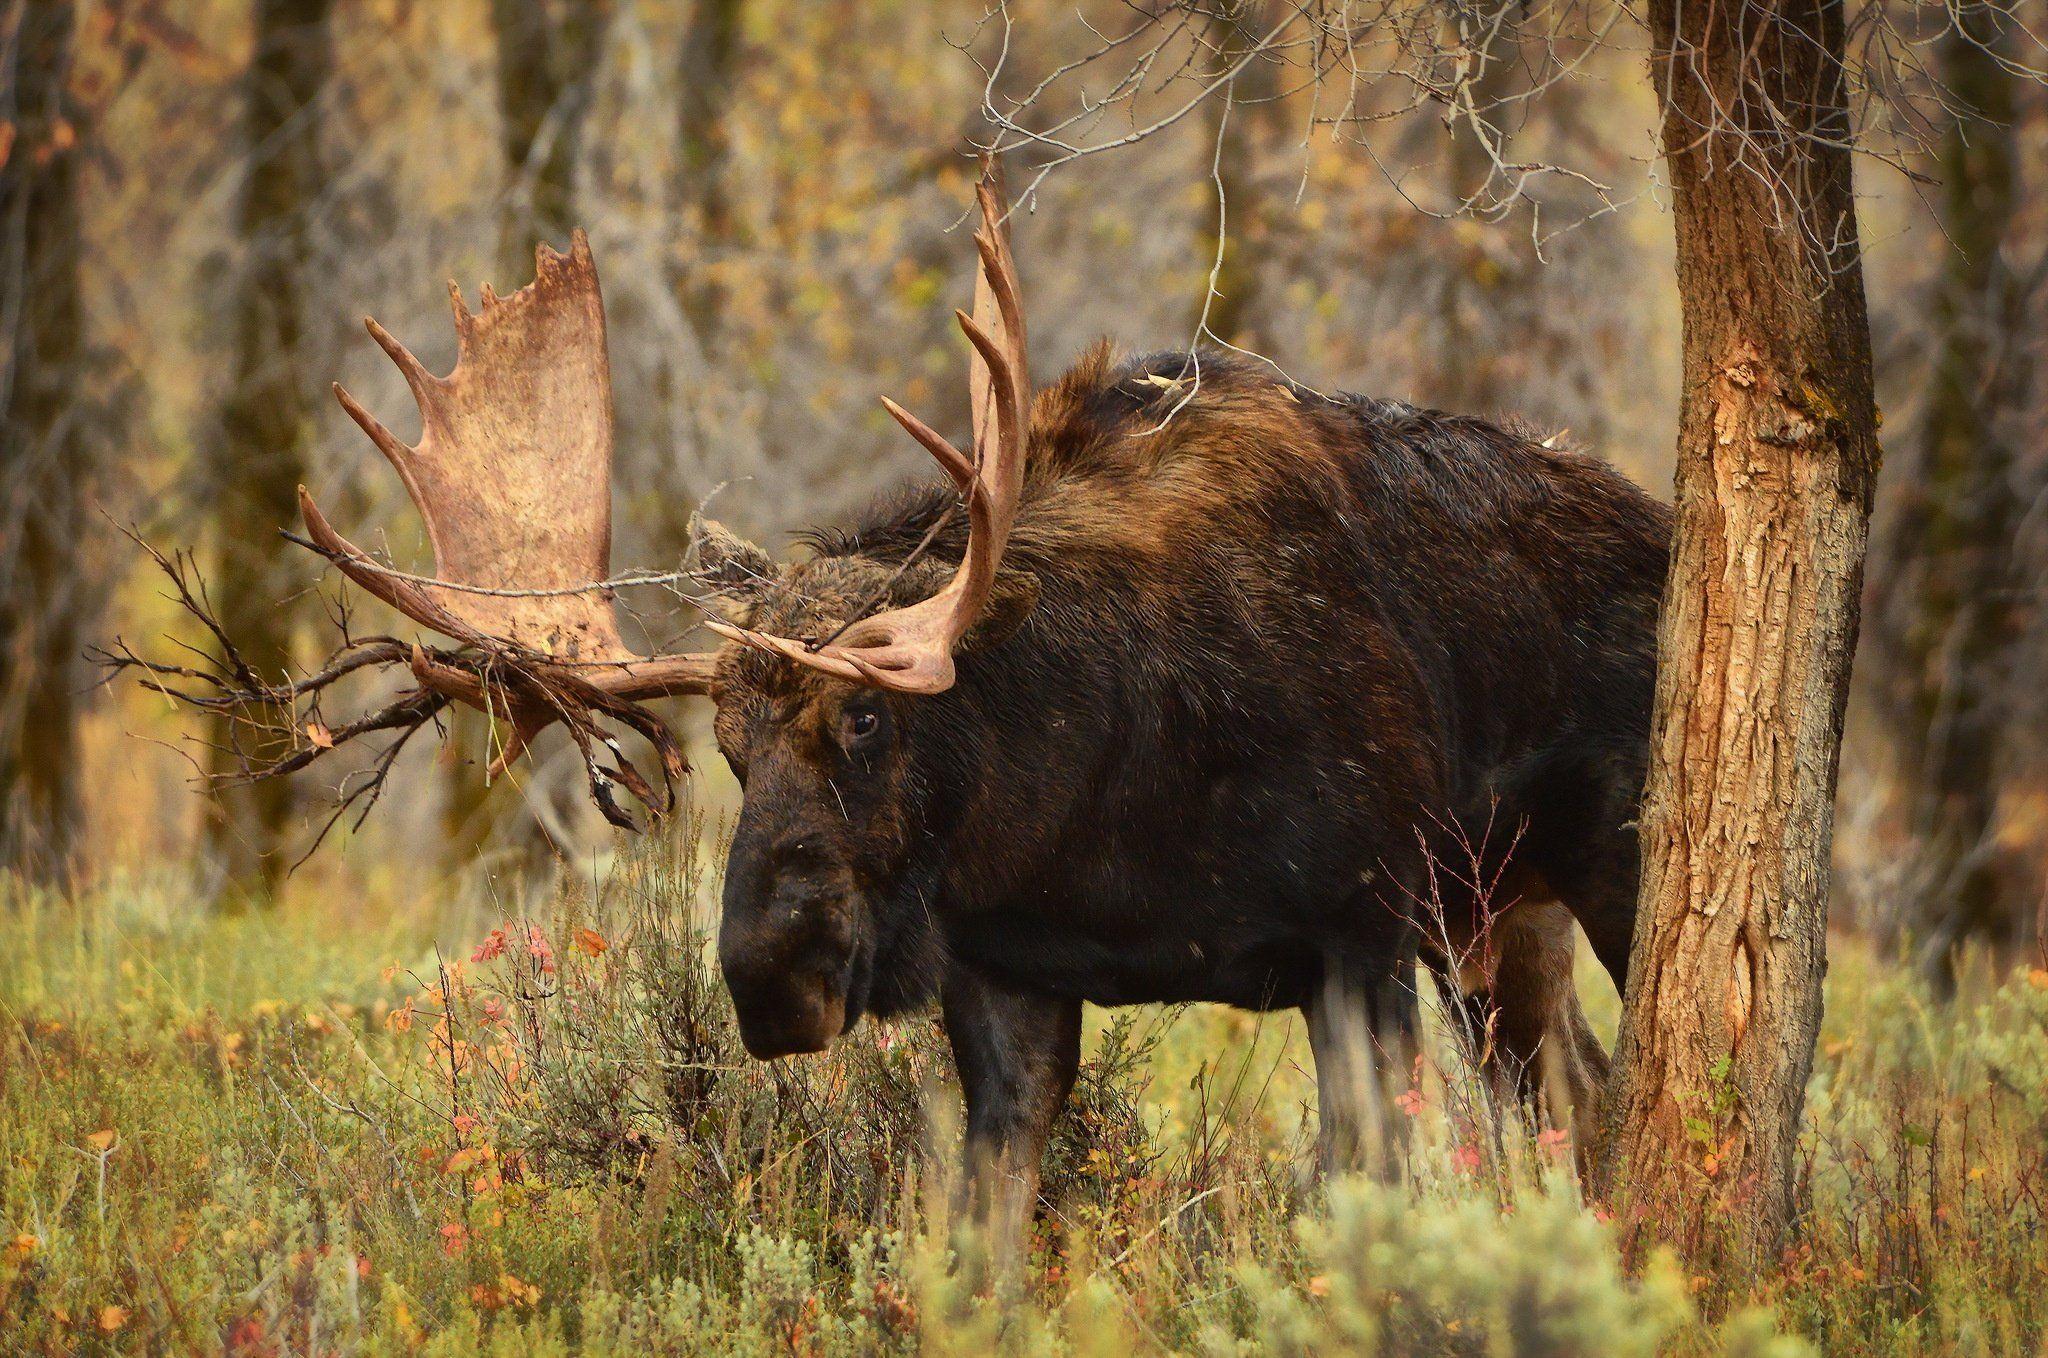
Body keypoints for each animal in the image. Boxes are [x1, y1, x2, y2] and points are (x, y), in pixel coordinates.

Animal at [113, 161, 1669, 1235]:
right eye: (728, 747)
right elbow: (983, 1232)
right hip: (1497, 920)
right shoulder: (1010, 974)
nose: (769, 975)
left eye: (865, 716)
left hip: (1596, 867)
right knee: (1586, 1092)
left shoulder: (1354, 933)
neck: (1105, 803)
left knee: (1612, 1079)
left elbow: (1363, 1196)